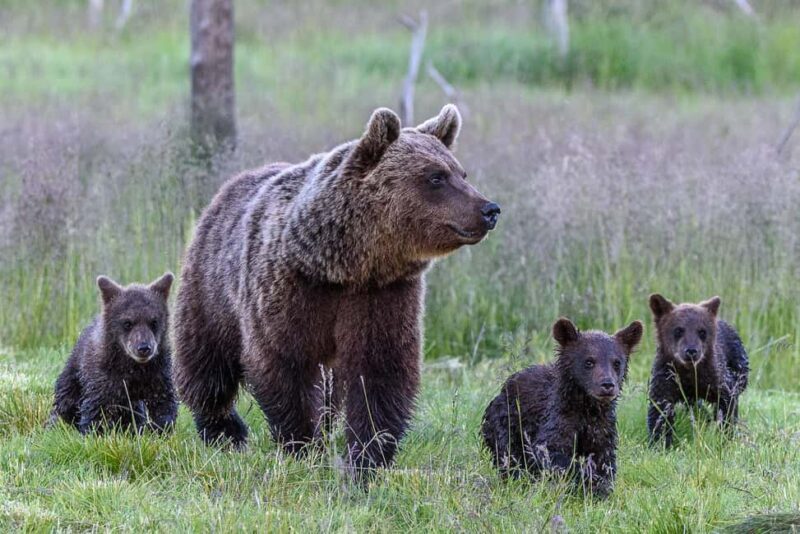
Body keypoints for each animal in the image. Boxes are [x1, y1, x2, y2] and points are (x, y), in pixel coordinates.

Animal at [49, 273, 177, 434]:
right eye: (127, 322)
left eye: (154, 321)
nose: (144, 348)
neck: (134, 367)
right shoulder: (104, 377)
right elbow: (95, 408)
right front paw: (92, 432)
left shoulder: (158, 374)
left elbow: (163, 405)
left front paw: (159, 430)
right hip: (74, 373)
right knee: (66, 401)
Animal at [173, 105, 499, 476]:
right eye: (436, 177)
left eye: (461, 172)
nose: (489, 209)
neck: (344, 265)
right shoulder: (290, 289)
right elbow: (286, 363)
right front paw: (302, 444)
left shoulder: (382, 295)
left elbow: (380, 371)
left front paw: (368, 455)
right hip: (211, 283)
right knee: (206, 357)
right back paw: (224, 429)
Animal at [481, 318, 643, 497]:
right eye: (589, 361)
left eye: (616, 363)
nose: (607, 385)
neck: (587, 407)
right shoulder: (558, 418)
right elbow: (551, 450)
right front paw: (587, 478)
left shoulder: (601, 427)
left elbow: (604, 458)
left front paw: (601, 487)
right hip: (506, 422)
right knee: (509, 455)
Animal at [647, 294, 749, 447]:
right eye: (678, 330)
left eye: (702, 331)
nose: (691, 351)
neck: (689, 373)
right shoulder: (665, 378)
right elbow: (660, 411)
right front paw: (660, 443)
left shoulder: (717, 379)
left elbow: (727, 403)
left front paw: (724, 436)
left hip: (739, 363)